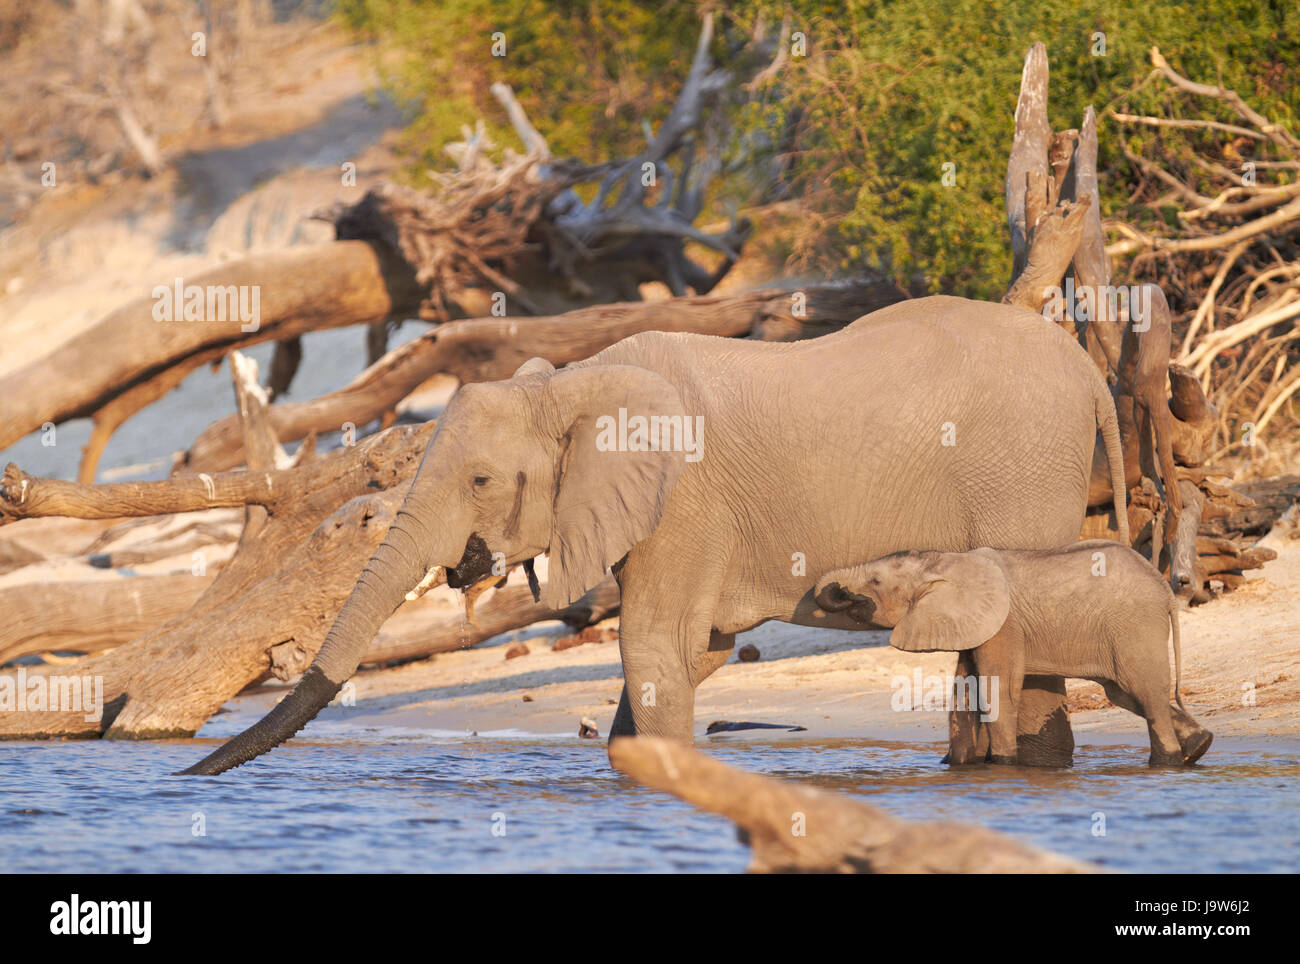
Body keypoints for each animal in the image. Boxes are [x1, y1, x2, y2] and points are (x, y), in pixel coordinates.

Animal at [181, 294, 1129, 775]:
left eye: (480, 482)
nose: (186, 774)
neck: (573, 384)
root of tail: (1088, 368)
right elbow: (689, 652)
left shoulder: (686, 502)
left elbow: (655, 646)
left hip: (1023, 470)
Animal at [813, 540, 1214, 767]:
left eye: (876, 582)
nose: (842, 591)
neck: (947, 560)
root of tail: (1165, 588)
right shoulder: (977, 625)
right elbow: (966, 691)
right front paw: (956, 764)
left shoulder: (1004, 625)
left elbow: (998, 692)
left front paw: (1003, 764)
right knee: (1127, 693)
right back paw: (1199, 746)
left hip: (1134, 626)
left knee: (1144, 691)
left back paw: (1168, 762)